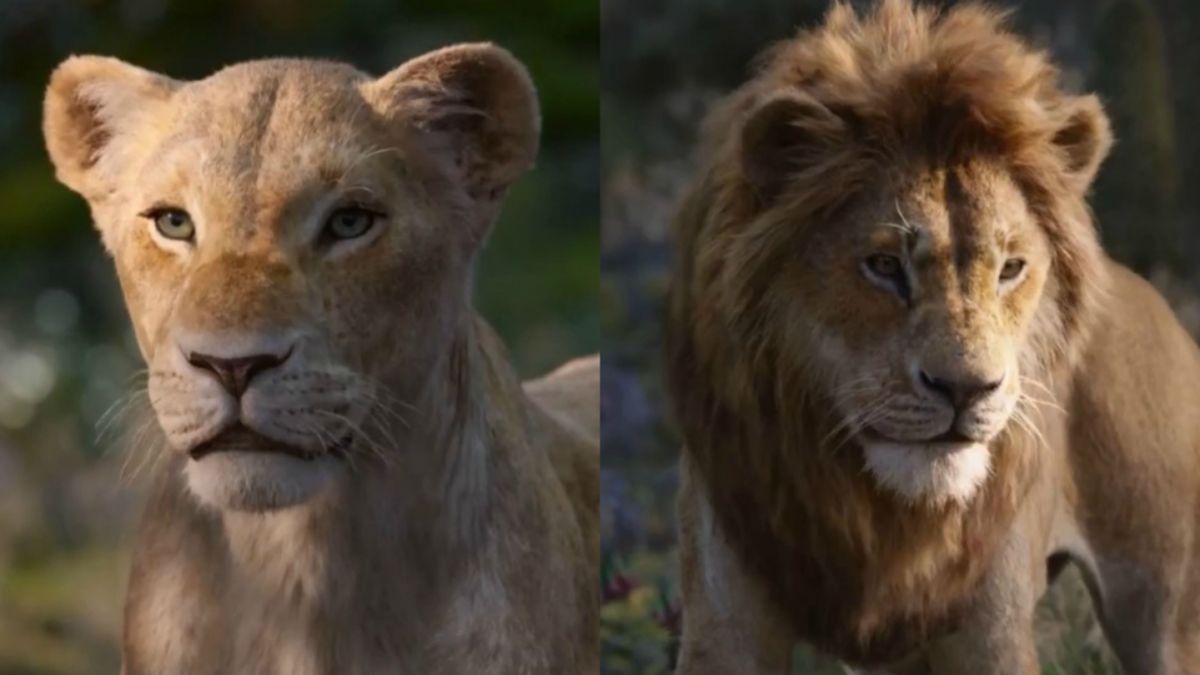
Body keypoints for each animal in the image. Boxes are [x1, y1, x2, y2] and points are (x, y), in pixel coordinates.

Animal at [664, 1, 1200, 673]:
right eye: (884, 265)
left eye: (1010, 268)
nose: (966, 390)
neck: (884, 514)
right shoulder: (725, 619)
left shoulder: (991, 630)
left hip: (1162, 610)